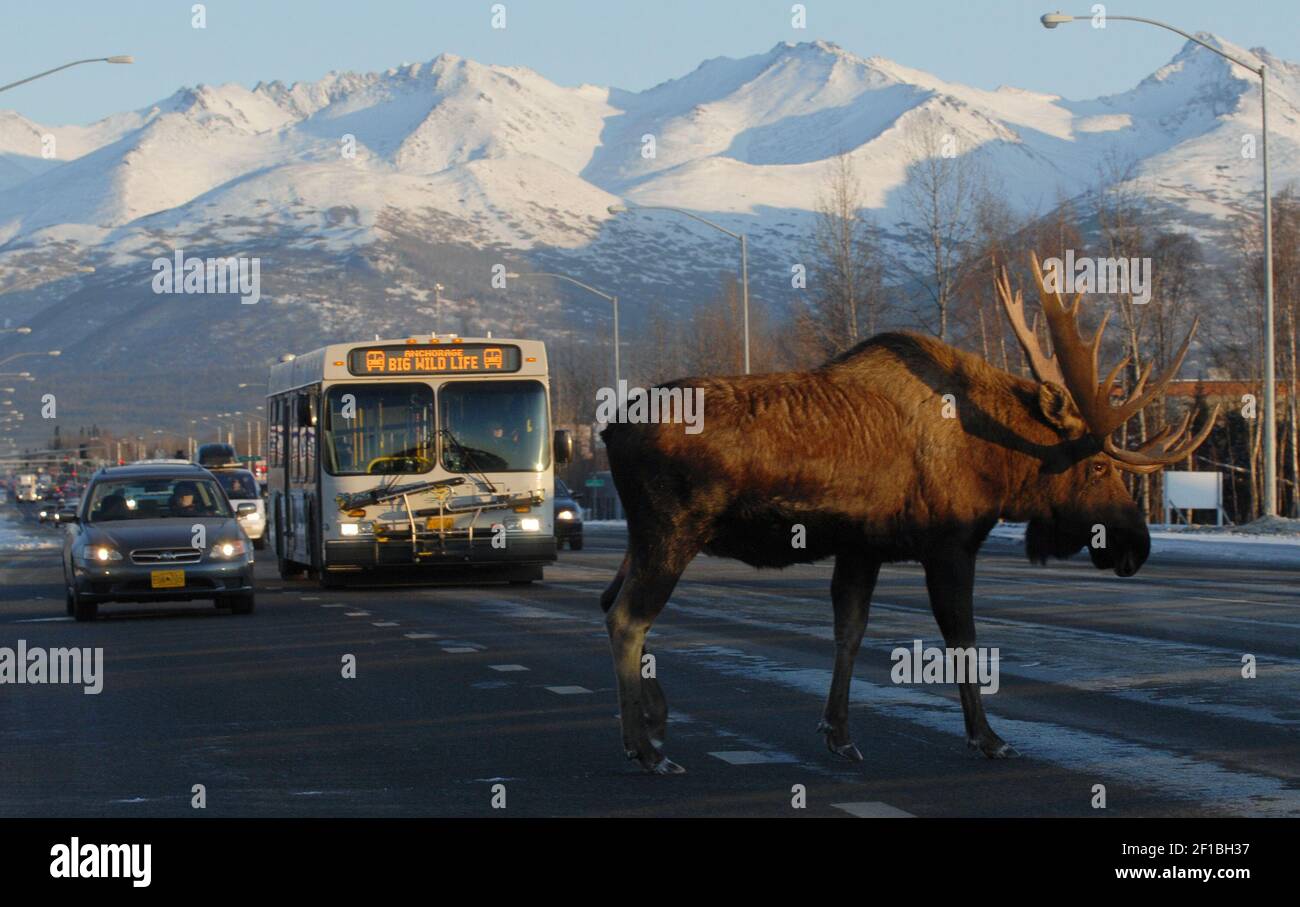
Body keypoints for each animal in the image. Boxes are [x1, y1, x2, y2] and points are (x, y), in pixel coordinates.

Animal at [598, 252, 1218, 774]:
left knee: (608, 599)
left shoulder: (862, 548)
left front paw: (840, 734)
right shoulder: (949, 545)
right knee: (628, 616)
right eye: (1098, 468)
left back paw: (656, 718)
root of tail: (608, 429)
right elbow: (963, 640)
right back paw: (644, 748)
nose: (1137, 544)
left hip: (643, 534)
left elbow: (849, 632)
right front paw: (987, 738)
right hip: (674, 530)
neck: (998, 464)